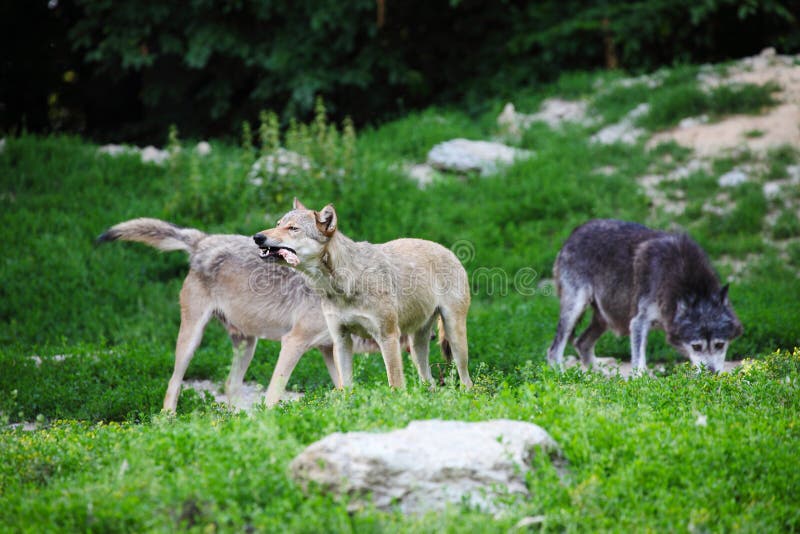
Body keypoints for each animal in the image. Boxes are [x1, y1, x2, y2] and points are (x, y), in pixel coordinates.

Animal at [97, 218, 382, 411]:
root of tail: (204, 240)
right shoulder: (294, 342)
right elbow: (273, 394)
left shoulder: (327, 349)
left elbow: (344, 387)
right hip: (192, 340)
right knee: (174, 382)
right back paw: (166, 421)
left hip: (247, 344)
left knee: (229, 384)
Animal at [253, 199, 473, 390]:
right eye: (278, 224)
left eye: (293, 228)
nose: (257, 237)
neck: (344, 283)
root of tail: (450, 251)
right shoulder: (340, 339)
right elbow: (346, 387)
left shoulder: (388, 336)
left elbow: (395, 385)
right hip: (417, 346)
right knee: (430, 382)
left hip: (455, 338)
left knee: (466, 380)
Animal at [547, 219, 742, 373]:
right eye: (697, 346)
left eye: (720, 345)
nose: (712, 373)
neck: (685, 279)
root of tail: (576, 231)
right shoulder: (638, 322)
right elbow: (639, 363)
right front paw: (640, 384)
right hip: (576, 309)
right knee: (554, 351)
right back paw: (562, 376)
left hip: (606, 318)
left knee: (581, 343)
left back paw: (602, 377)